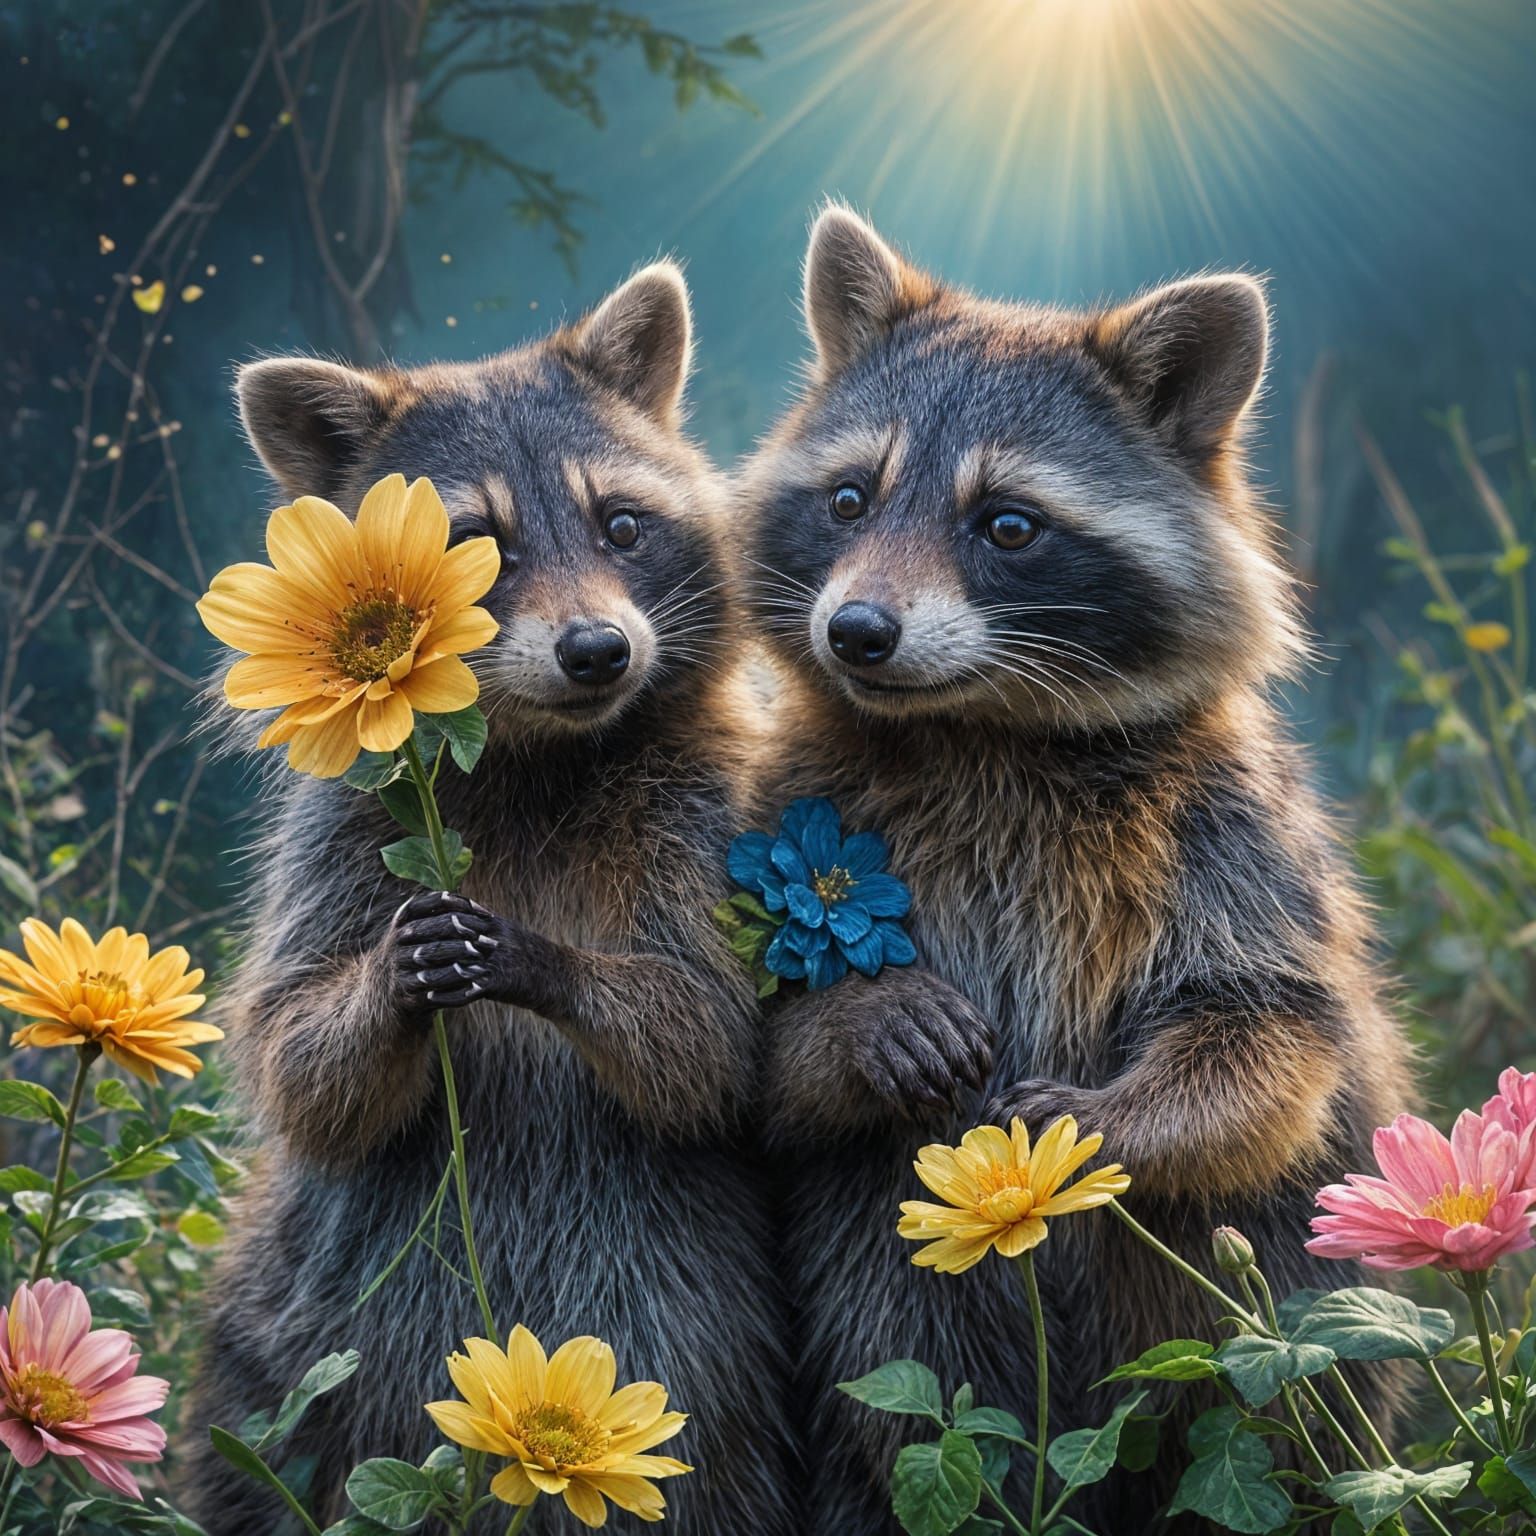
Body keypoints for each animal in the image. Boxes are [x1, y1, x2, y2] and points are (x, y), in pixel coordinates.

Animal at [180, 265, 794, 1536]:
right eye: (480, 545)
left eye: (621, 526)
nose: (599, 650)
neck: (536, 757)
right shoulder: (342, 839)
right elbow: (295, 1058)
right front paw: (385, 986)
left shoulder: (714, 811)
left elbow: (712, 1042)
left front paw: (545, 963)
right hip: (285, 1339)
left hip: (692, 1348)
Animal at [736, 209, 1413, 1534]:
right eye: (849, 499)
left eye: (1008, 523)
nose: (857, 633)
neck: (981, 729)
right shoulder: (783, 799)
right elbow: (737, 1063)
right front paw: (860, 1016)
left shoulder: (1232, 837)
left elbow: (1267, 1037)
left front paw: (1121, 1119)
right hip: (884, 1324)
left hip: (1286, 1334)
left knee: (1300, 1412)